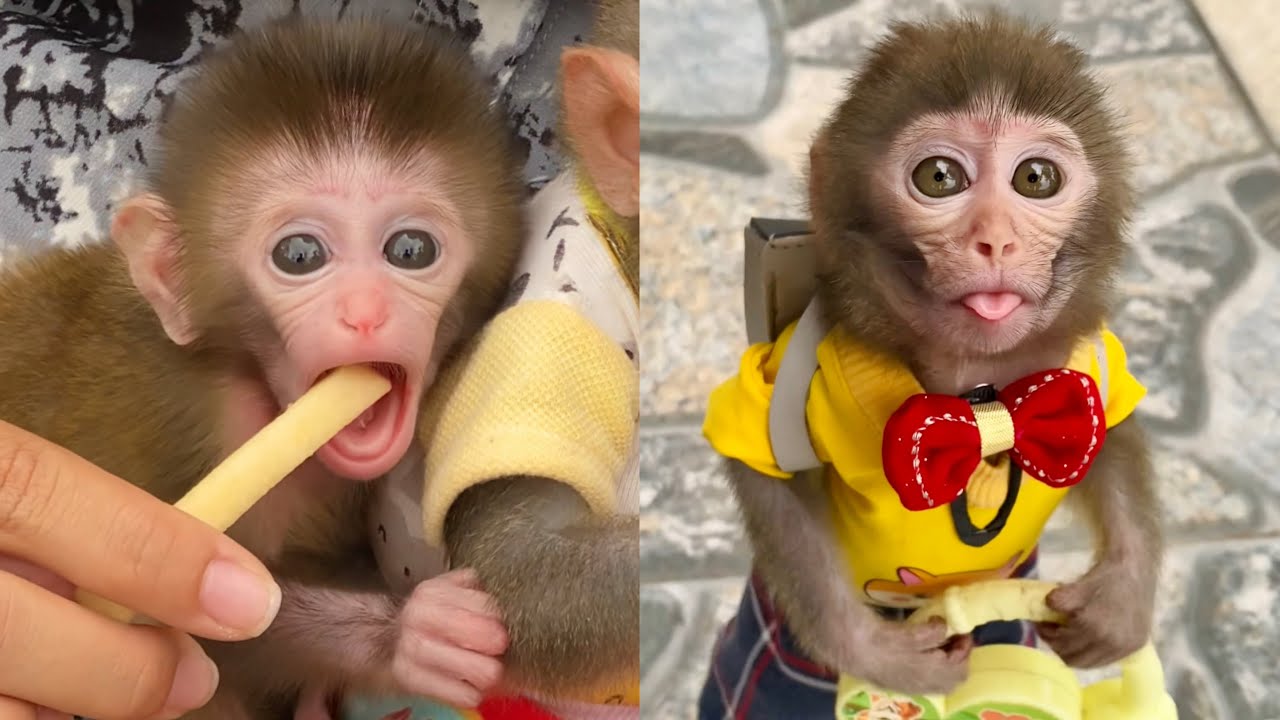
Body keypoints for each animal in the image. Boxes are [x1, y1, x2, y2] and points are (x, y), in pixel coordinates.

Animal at [0, 17, 527, 719]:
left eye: (410, 250)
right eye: (299, 255)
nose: (365, 312)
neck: (254, 381)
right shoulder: (210, 425)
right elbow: (200, 635)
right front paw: (410, 636)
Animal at [698, 10, 1161, 714]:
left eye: (1036, 178)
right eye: (939, 177)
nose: (996, 239)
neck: (981, 393)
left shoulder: (1092, 365)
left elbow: (1109, 432)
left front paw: (1124, 599)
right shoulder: (798, 380)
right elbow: (765, 474)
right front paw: (871, 652)